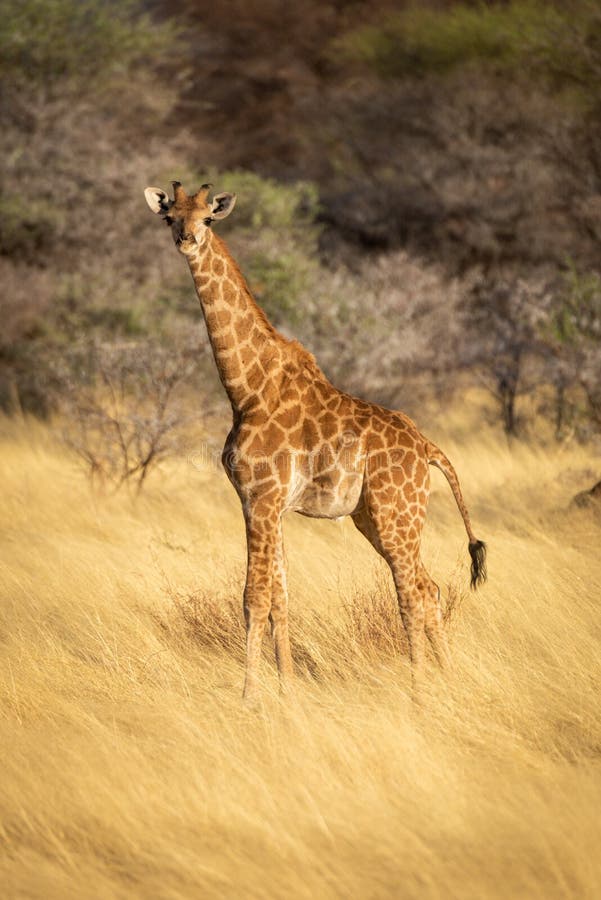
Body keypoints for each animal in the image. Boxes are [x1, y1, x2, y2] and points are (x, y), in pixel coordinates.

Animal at [144, 181, 487, 701]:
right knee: (429, 588)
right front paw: (286, 692)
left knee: (412, 591)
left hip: (396, 514)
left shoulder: (261, 498)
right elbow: (280, 598)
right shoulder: (267, 504)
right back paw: (445, 684)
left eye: (207, 218)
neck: (246, 388)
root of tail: (428, 449)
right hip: (371, 517)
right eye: (170, 217)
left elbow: (254, 598)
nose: (186, 240)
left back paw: (419, 691)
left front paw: (249, 697)